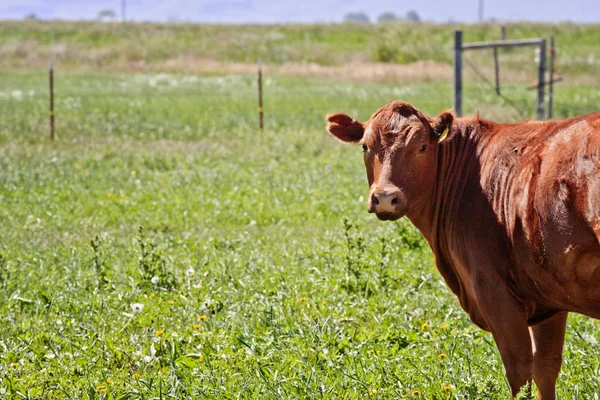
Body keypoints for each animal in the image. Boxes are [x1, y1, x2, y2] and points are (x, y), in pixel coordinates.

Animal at [326, 99, 600, 396]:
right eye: (365, 146)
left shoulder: (496, 294)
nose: (385, 198)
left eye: (421, 147)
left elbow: (520, 371)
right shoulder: (550, 300)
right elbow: (546, 368)